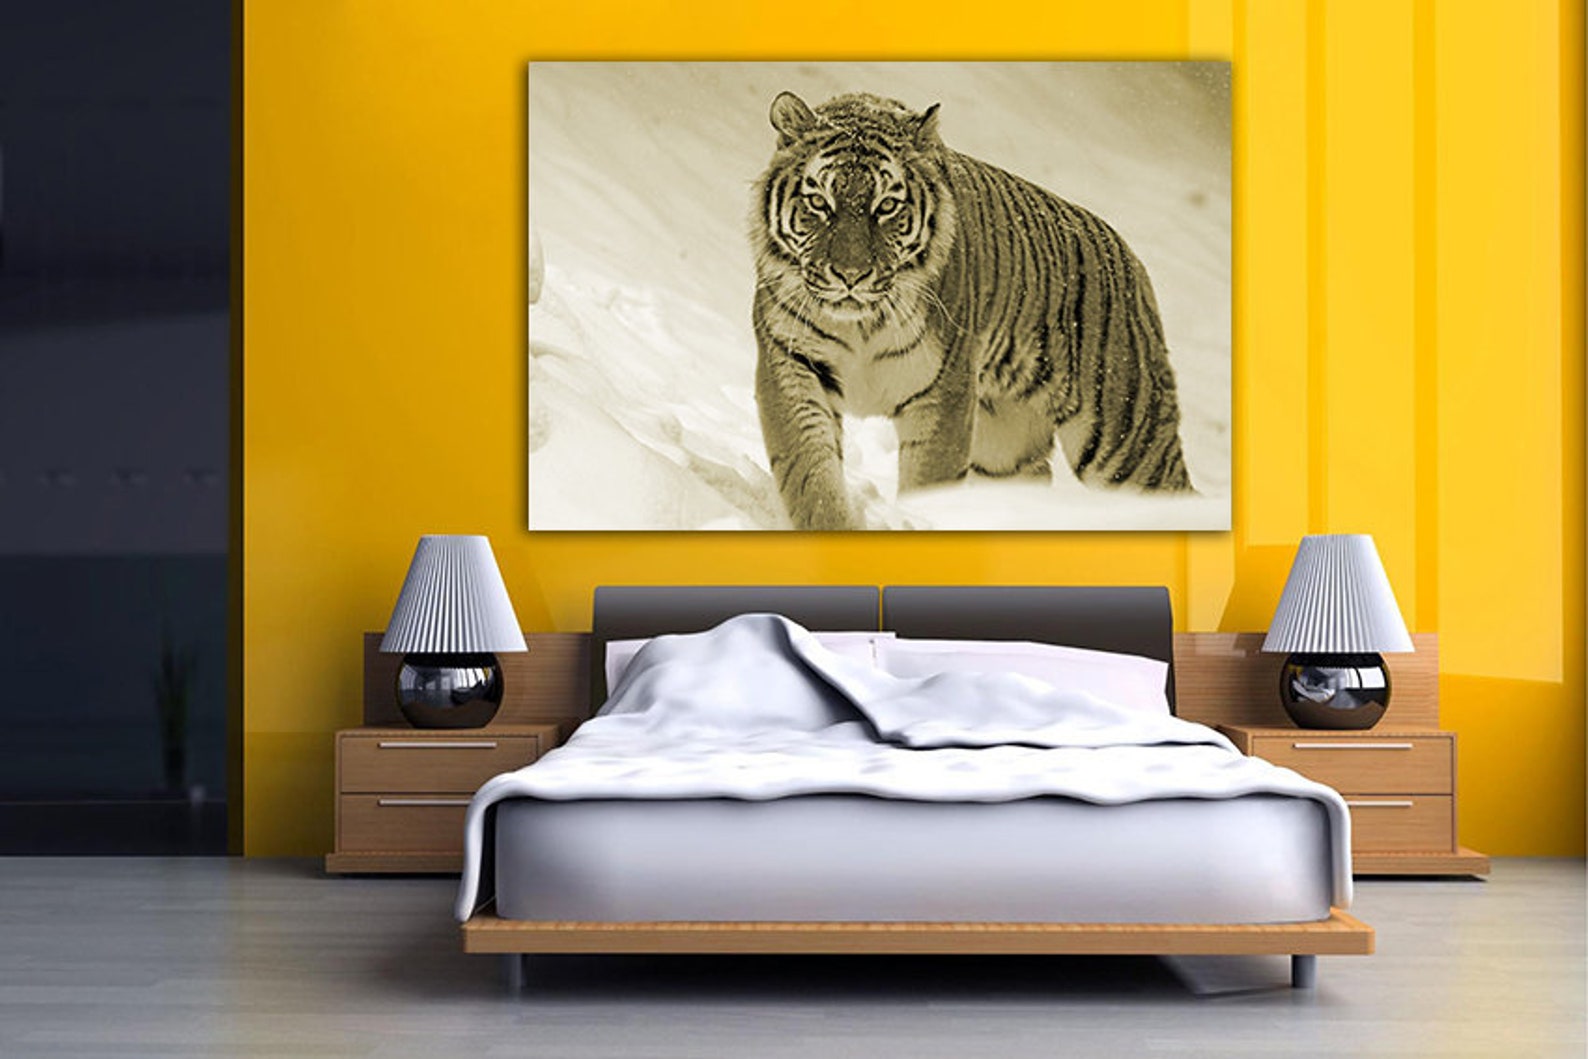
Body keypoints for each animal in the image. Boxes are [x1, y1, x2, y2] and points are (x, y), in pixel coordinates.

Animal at [749, 91, 1195, 531]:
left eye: (887, 206)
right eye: (818, 202)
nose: (850, 275)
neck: (861, 325)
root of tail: (1131, 259)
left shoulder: (944, 392)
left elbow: (928, 484)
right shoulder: (792, 363)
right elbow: (810, 472)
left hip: (1124, 437)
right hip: (1005, 447)